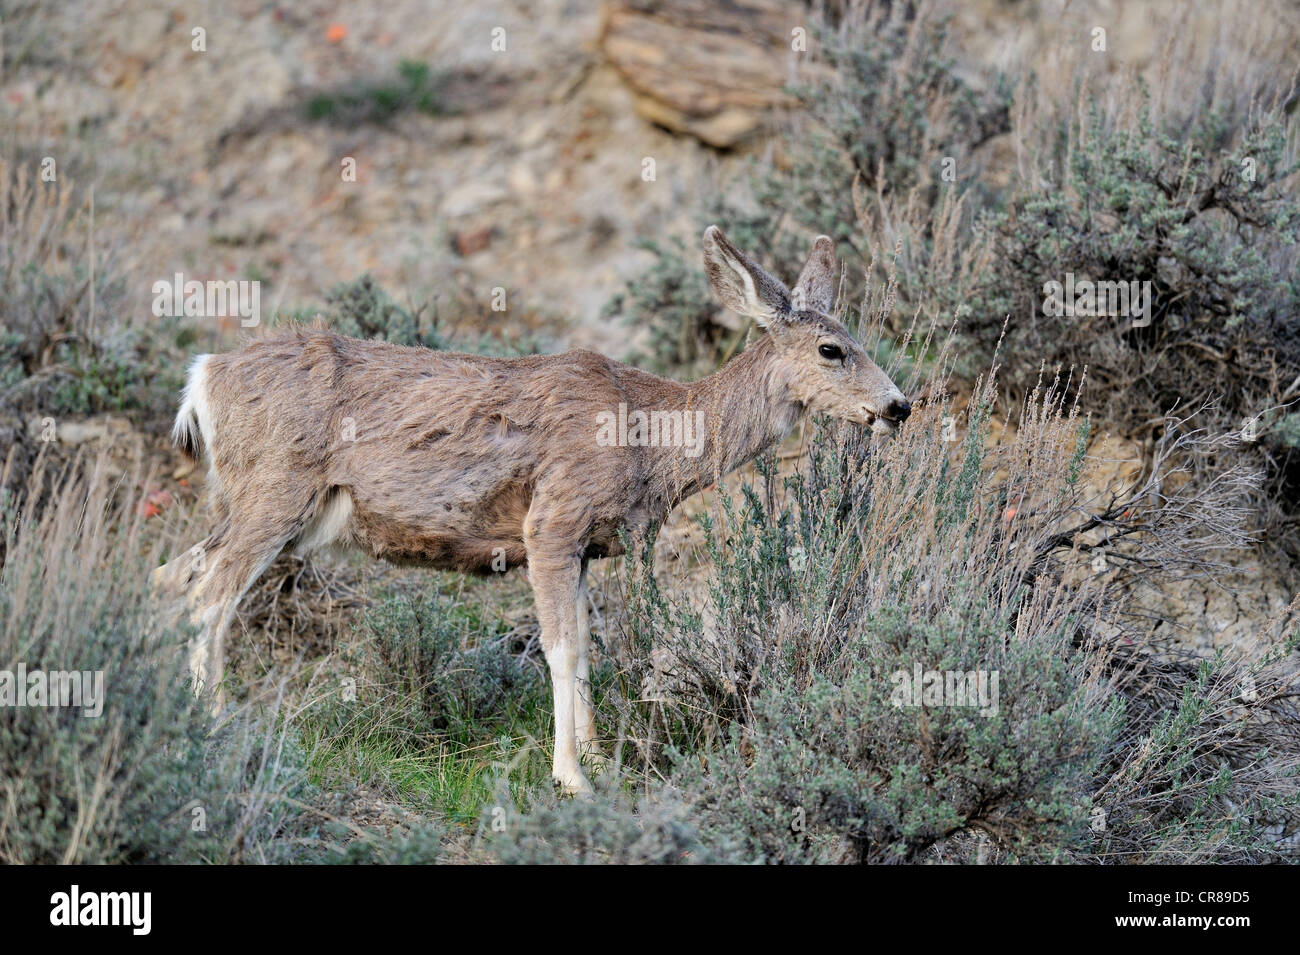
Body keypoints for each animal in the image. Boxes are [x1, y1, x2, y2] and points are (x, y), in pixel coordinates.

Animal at [152, 225, 911, 796]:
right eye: (832, 348)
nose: (899, 405)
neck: (650, 435)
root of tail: (203, 375)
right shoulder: (551, 521)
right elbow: (561, 646)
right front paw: (571, 776)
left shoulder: (588, 545)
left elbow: (586, 647)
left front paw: (600, 757)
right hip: (275, 491)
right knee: (208, 594)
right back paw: (213, 721)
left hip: (274, 509)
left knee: (173, 574)